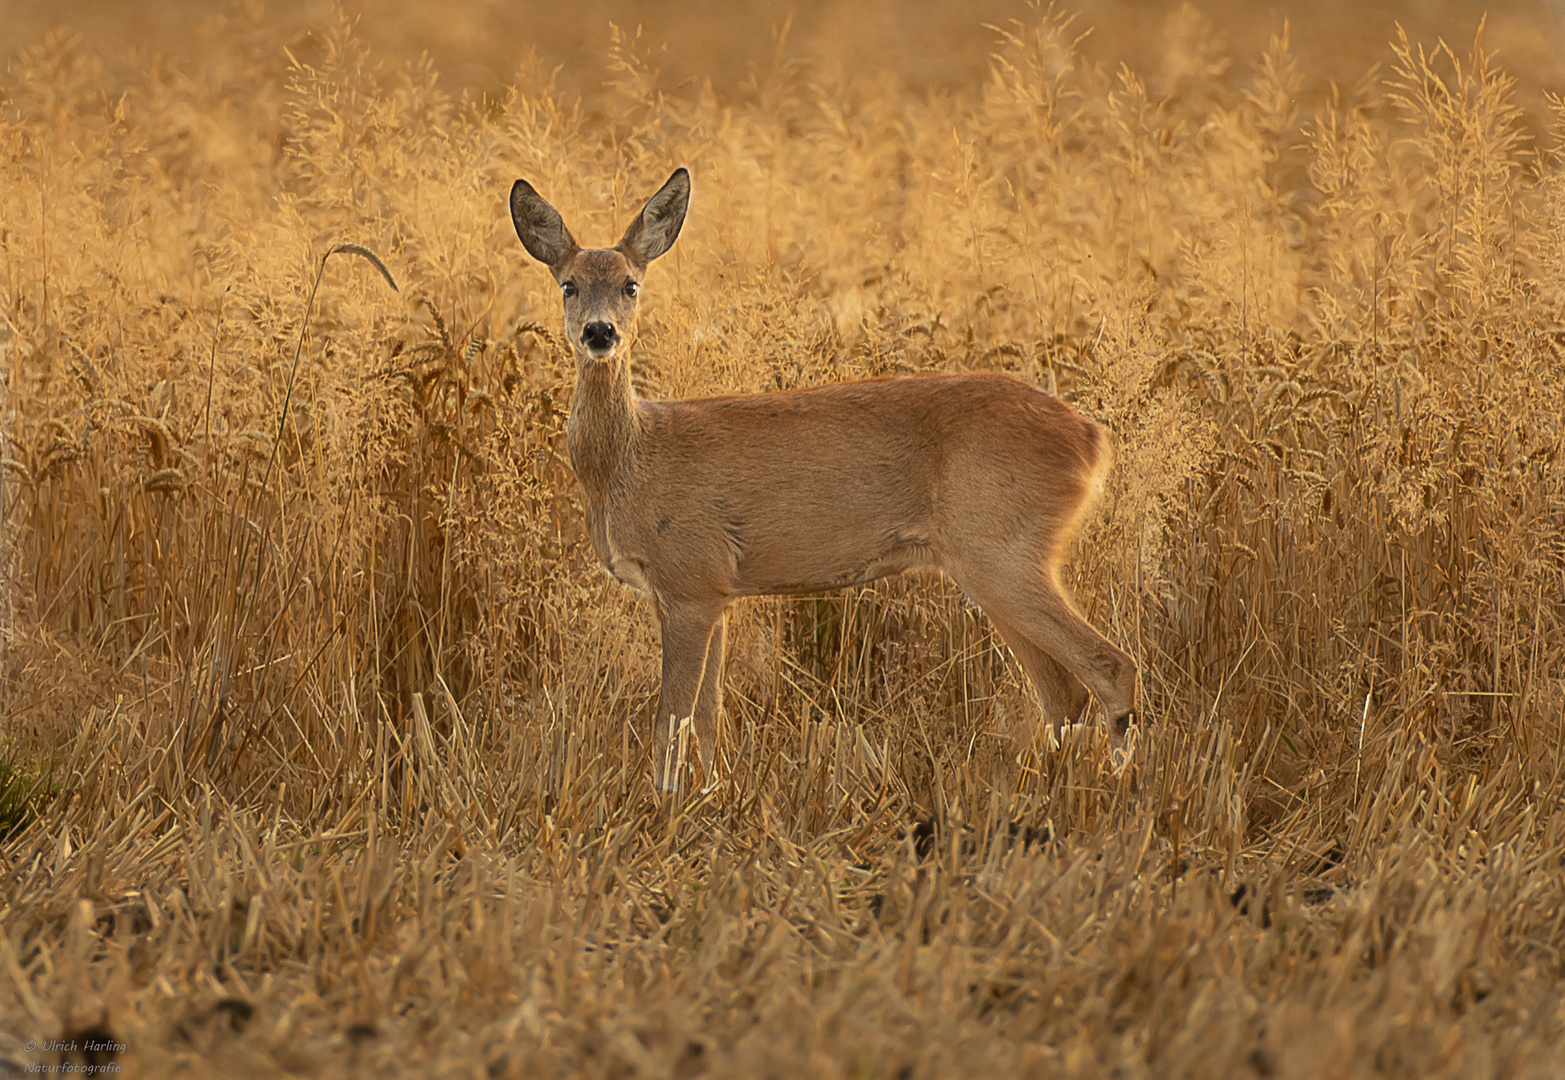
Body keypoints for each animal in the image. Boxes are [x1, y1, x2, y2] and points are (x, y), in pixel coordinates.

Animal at [513, 170, 1139, 792]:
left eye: (631, 285)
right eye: (568, 285)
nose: (599, 332)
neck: (632, 461)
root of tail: (1092, 441)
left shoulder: (689, 577)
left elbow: (674, 719)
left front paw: (666, 802)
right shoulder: (713, 591)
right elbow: (710, 718)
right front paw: (711, 795)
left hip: (1001, 549)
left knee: (1111, 666)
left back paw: (1119, 784)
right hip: (992, 563)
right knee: (1063, 693)